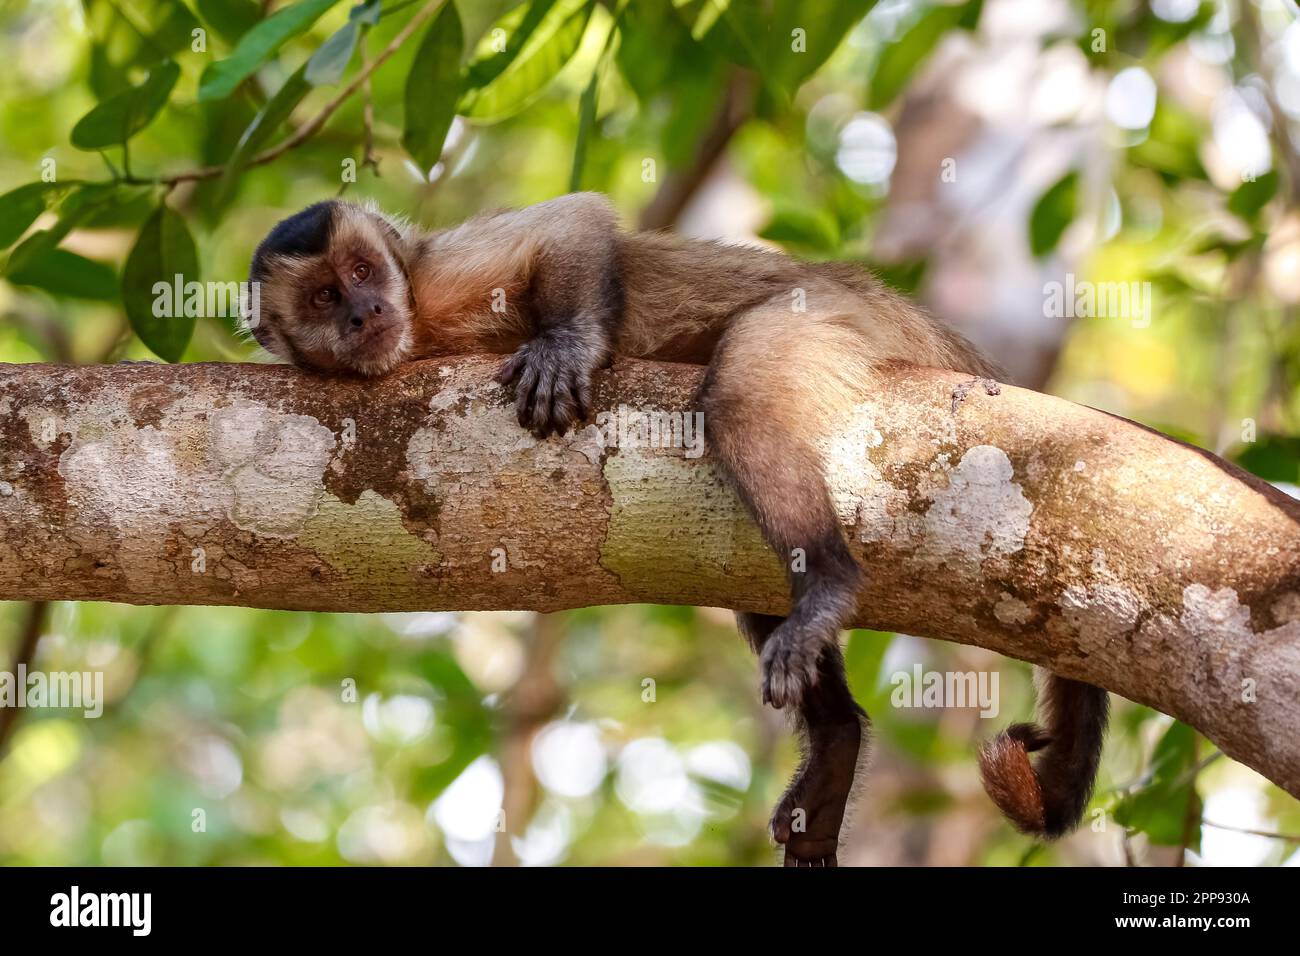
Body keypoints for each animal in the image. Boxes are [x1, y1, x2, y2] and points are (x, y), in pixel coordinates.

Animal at [247, 193, 1109, 865]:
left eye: (363, 274)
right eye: (323, 297)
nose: (364, 312)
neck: (416, 330)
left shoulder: (439, 279)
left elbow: (575, 224)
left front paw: (566, 345)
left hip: (831, 316)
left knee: (741, 398)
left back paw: (829, 587)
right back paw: (836, 741)